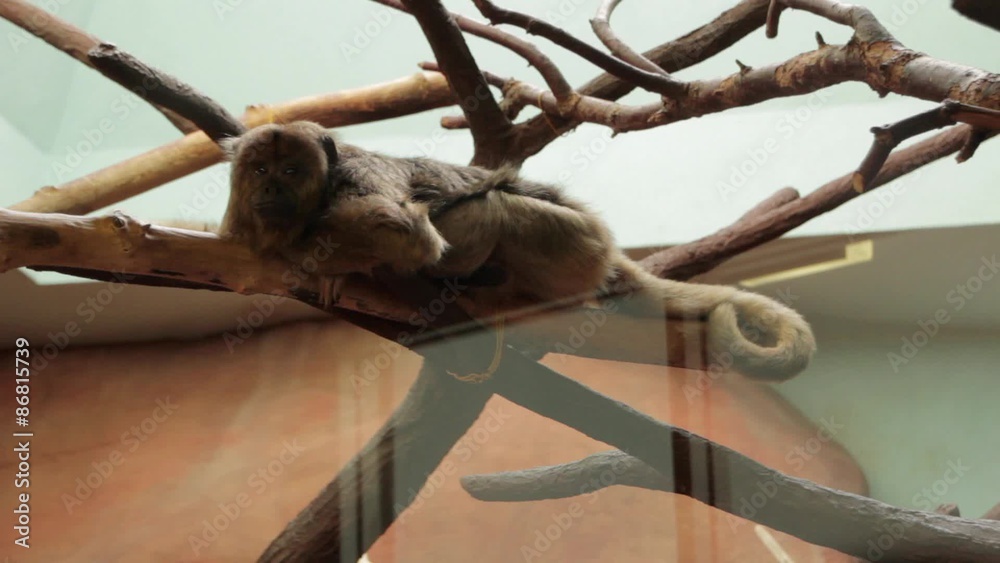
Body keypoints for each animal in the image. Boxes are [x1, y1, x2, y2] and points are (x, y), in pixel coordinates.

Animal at [216, 121, 816, 381]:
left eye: (292, 171)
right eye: (261, 171)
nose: (271, 191)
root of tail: (608, 244)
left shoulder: (359, 176)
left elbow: (406, 229)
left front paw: (321, 262)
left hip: (574, 246)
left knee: (494, 206)